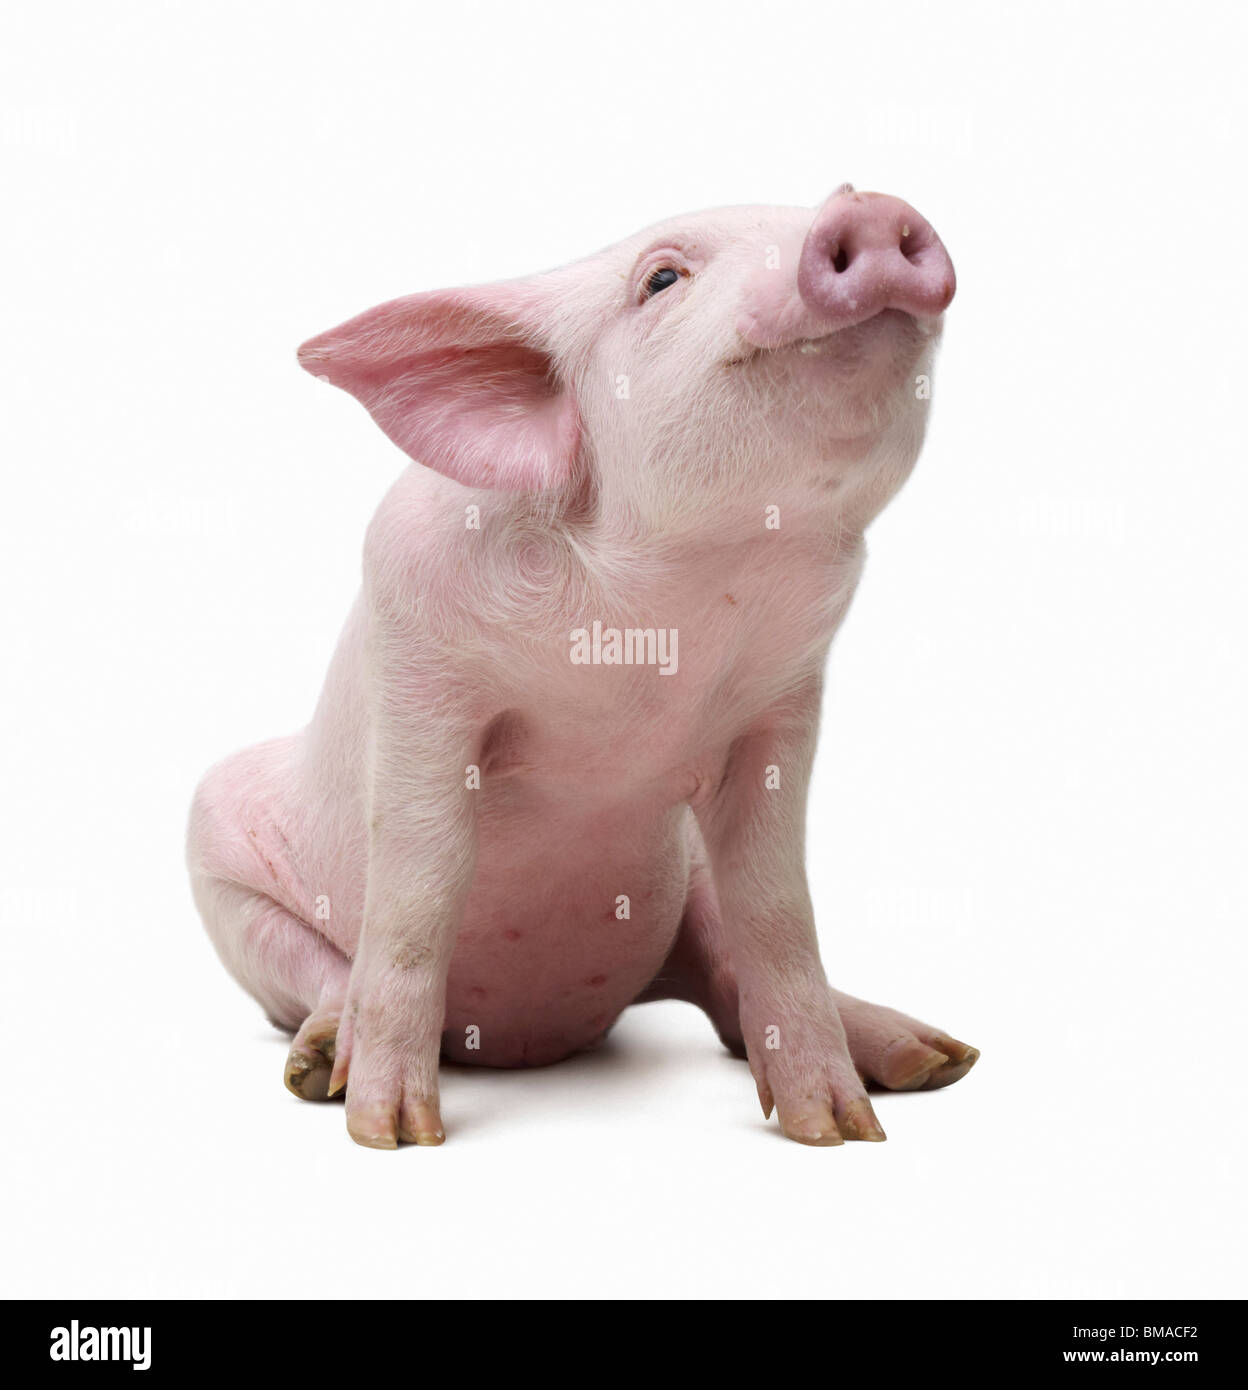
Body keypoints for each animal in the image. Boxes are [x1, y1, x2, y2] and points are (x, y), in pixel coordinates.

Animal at [187, 184, 976, 1149]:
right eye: (662, 278)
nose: (864, 206)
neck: (654, 631)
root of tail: (539, 1038)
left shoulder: (786, 697)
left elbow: (776, 905)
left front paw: (841, 1131)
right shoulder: (416, 651)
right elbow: (419, 883)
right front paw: (391, 1134)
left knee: (722, 971)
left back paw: (935, 1058)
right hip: (220, 870)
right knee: (321, 969)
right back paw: (319, 1065)